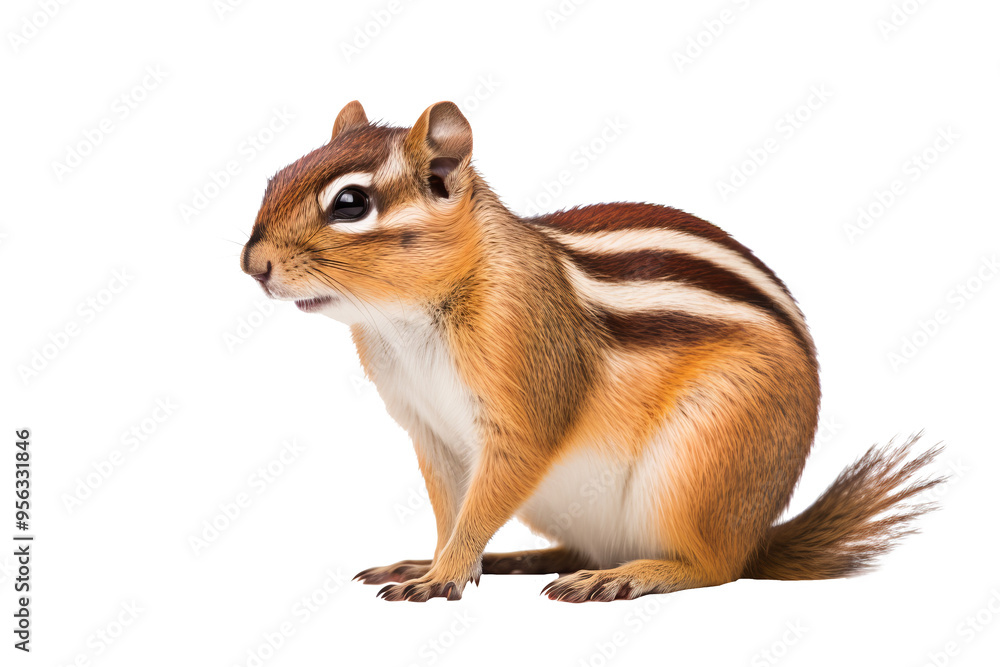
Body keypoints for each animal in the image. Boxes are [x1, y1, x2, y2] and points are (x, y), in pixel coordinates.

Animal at [241, 100, 945, 602]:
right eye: (274, 178)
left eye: (350, 203)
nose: (252, 265)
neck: (405, 322)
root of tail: (758, 537)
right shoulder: (430, 431)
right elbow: (450, 507)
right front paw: (435, 561)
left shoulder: (525, 404)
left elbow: (490, 490)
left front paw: (442, 575)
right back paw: (524, 560)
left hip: (699, 459)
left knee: (715, 568)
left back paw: (631, 575)